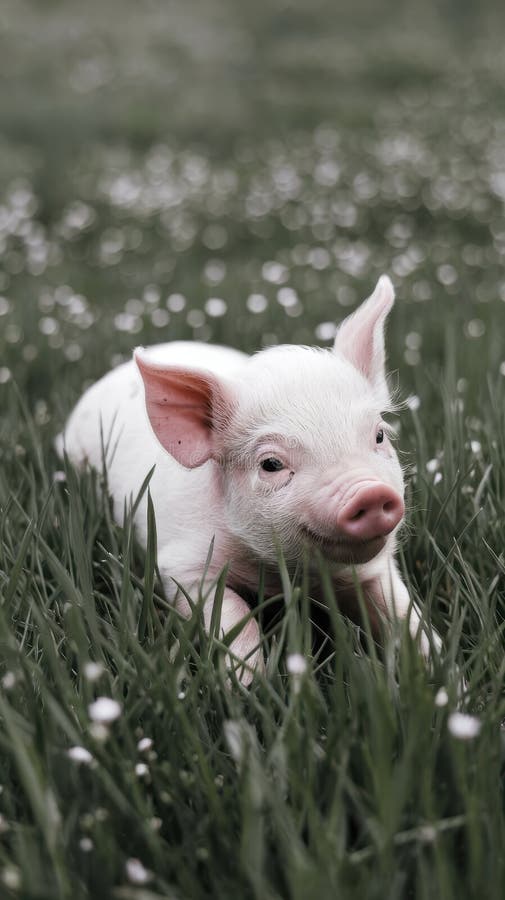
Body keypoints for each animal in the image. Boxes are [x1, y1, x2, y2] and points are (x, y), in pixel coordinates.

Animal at [60, 275, 439, 682]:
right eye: (271, 464)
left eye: (379, 435)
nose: (368, 492)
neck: (283, 576)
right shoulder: (182, 565)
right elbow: (231, 616)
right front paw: (247, 683)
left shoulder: (374, 566)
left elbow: (403, 613)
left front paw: (441, 674)